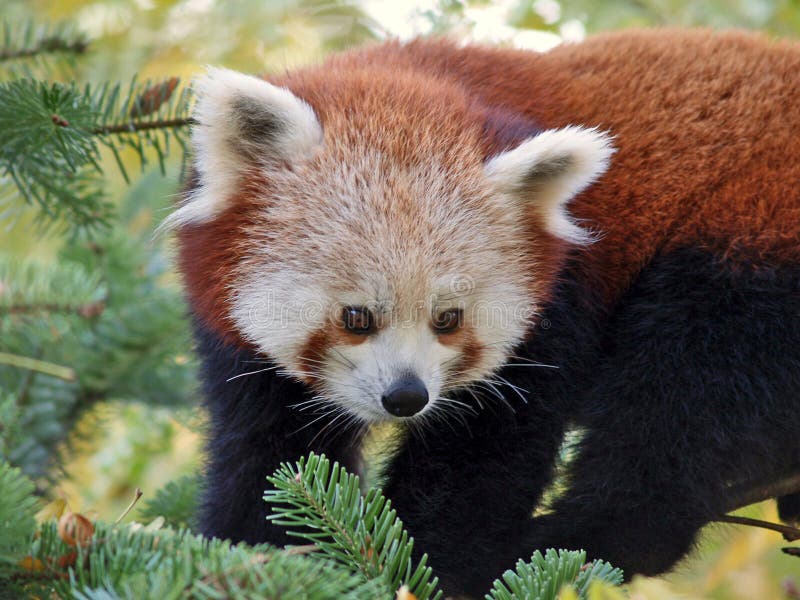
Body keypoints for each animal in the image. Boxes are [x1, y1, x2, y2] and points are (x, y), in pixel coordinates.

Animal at [165, 28, 800, 596]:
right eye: (355, 317)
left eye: (448, 319)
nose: (406, 397)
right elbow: (273, 451)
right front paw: (254, 553)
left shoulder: (556, 299)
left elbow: (482, 455)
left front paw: (425, 563)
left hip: (748, 237)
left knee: (681, 396)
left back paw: (579, 540)